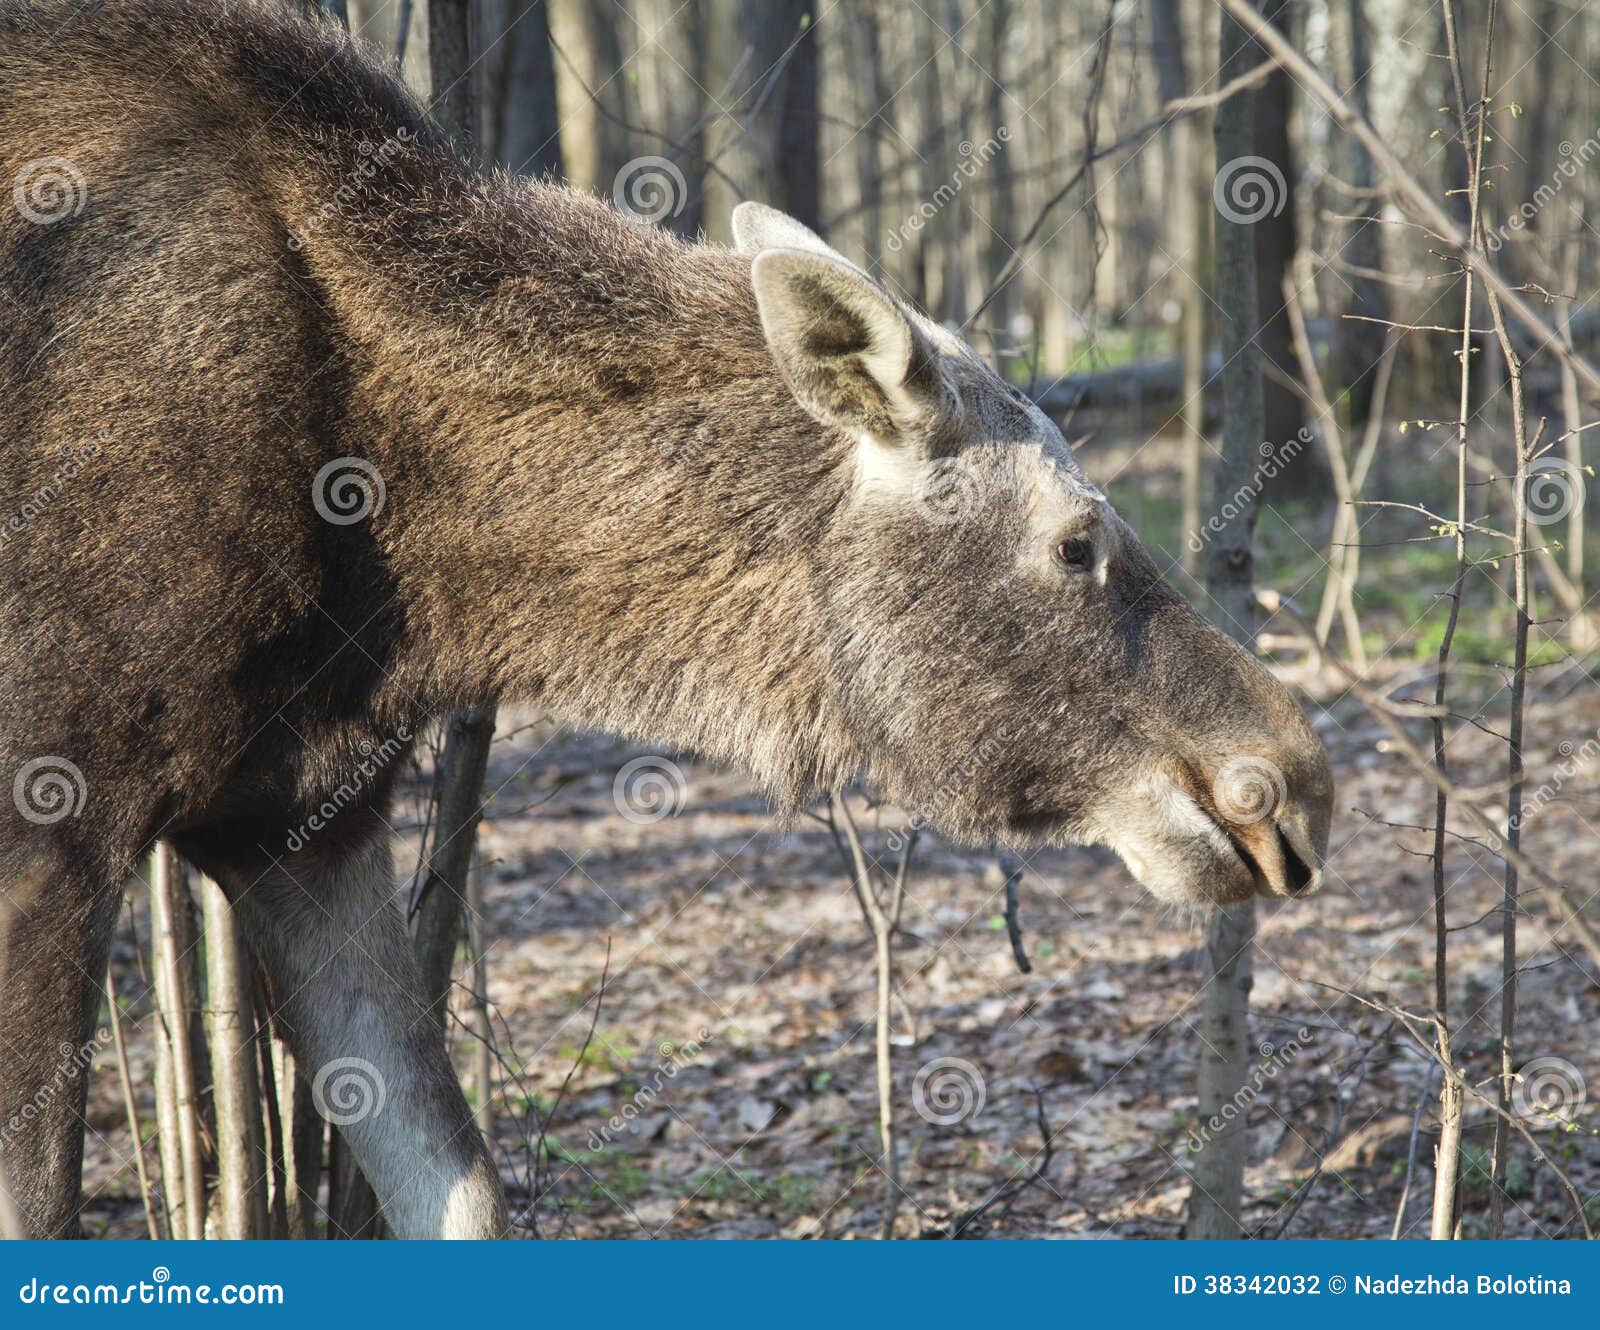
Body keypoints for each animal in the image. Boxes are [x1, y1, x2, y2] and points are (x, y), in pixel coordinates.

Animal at [0, 0, 1332, 1238]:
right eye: (1073, 540)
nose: (1294, 776)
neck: (411, 560)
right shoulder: (49, 823)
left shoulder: (303, 818)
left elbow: (461, 1188)